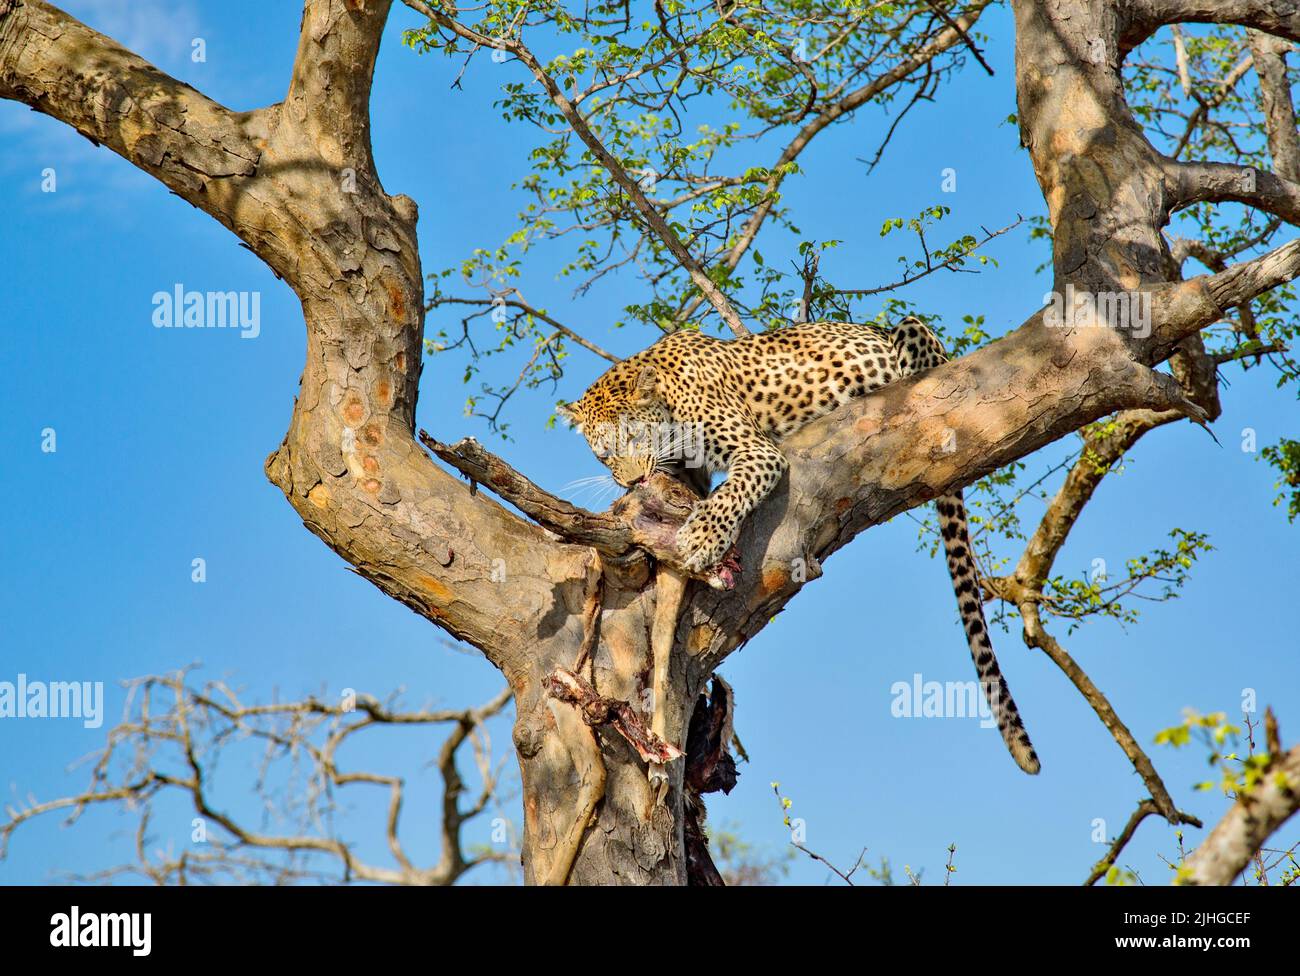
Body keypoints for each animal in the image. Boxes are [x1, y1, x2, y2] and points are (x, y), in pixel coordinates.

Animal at [556, 317, 1040, 775]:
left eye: (635, 437)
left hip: (912, 329)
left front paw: (702, 538)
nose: (633, 480)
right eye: (604, 454)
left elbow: (729, 495)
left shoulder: (756, 451)